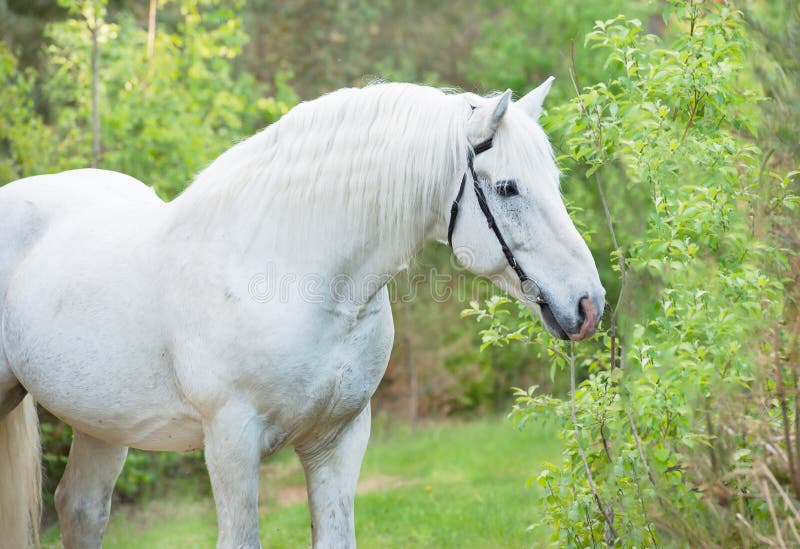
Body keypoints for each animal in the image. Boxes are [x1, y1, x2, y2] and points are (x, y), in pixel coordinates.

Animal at [0, 78, 604, 548]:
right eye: (507, 187)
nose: (589, 304)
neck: (290, 275)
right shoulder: (231, 443)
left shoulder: (339, 440)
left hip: (102, 423)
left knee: (81, 508)